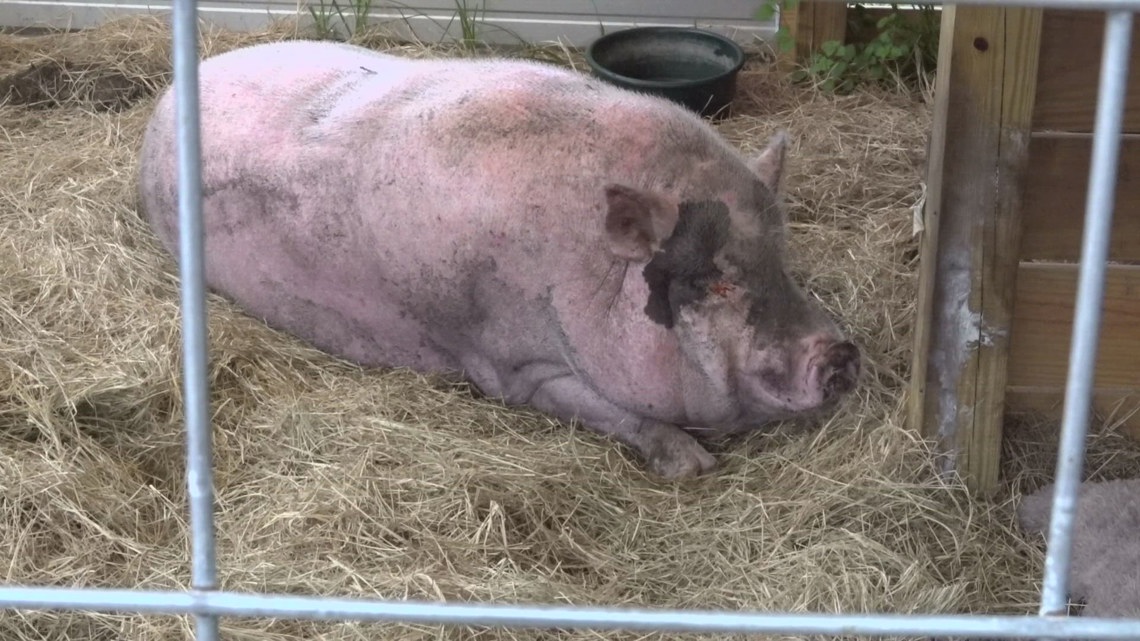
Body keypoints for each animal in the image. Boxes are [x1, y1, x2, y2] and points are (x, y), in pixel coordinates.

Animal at [137, 40, 860, 480]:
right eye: (713, 282)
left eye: (780, 256)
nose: (840, 351)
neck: (582, 272)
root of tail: (163, 103)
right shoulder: (513, 368)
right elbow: (620, 413)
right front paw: (695, 464)